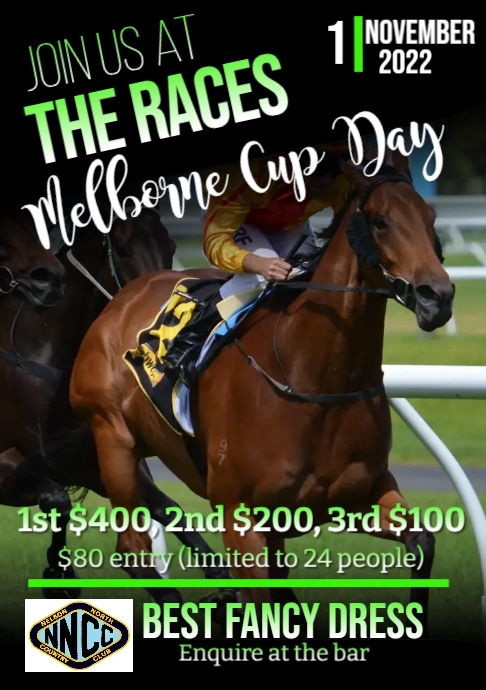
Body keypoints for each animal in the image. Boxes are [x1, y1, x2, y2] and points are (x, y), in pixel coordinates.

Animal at [0, 198, 236, 615]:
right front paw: (59, 573)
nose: (167, 304)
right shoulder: (19, 464)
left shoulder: (95, 457)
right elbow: (57, 499)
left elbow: (169, 510)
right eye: (122, 250)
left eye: (170, 246)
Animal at [68, 153, 454, 638]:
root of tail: (120, 298)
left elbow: (423, 542)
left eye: (430, 218)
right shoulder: (240, 516)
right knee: (134, 548)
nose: (437, 296)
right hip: (112, 439)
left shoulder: (361, 494)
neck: (312, 378)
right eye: (381, 221)